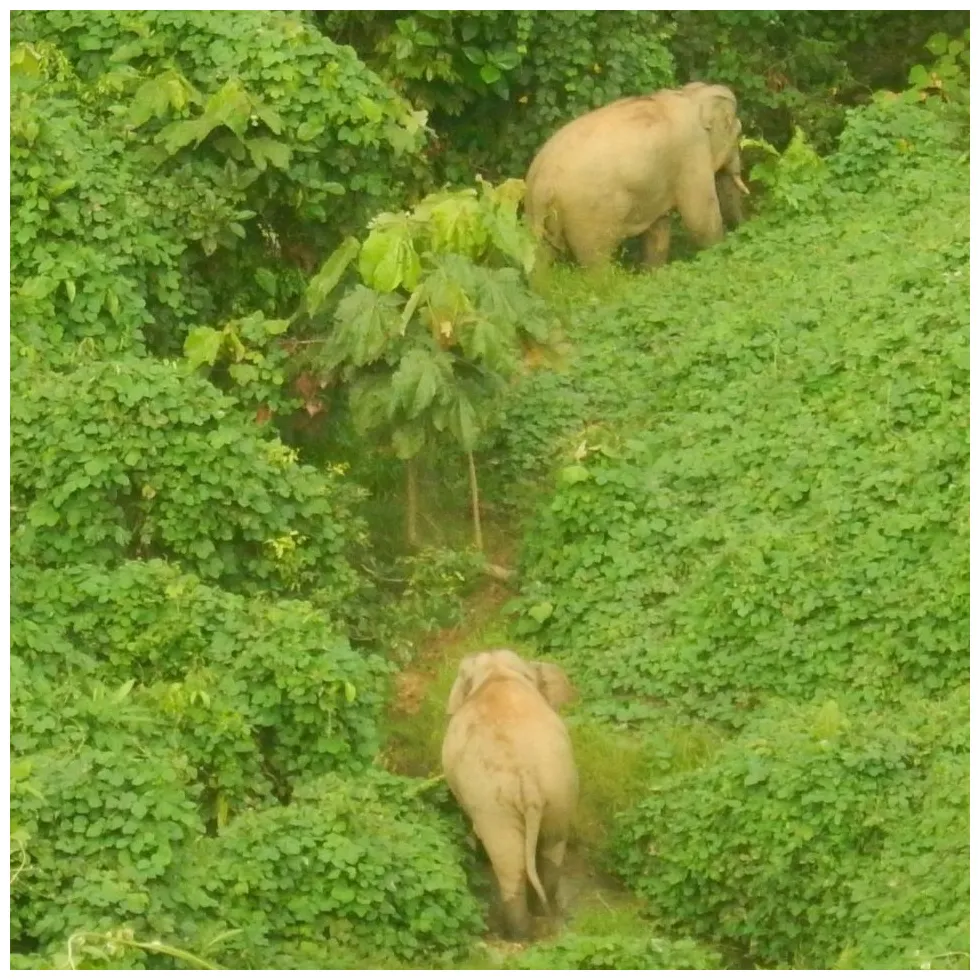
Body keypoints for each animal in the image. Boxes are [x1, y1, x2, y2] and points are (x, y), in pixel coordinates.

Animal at [441, 649, 578, 940]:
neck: (498, 672)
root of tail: (528, 778)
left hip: (494, 804)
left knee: (508, 863)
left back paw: (516, 935)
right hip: (559, 788)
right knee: (552, 846)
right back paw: (544, 912)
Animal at [524, 81, 749, 269]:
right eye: (738, 133)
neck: (691, 95)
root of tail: (543, 182)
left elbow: (658, 230)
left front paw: (652, 273)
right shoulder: (692, 152)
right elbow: (700, 218)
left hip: (536, 214)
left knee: (540, 258)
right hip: (586, 216)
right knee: (596, 263)